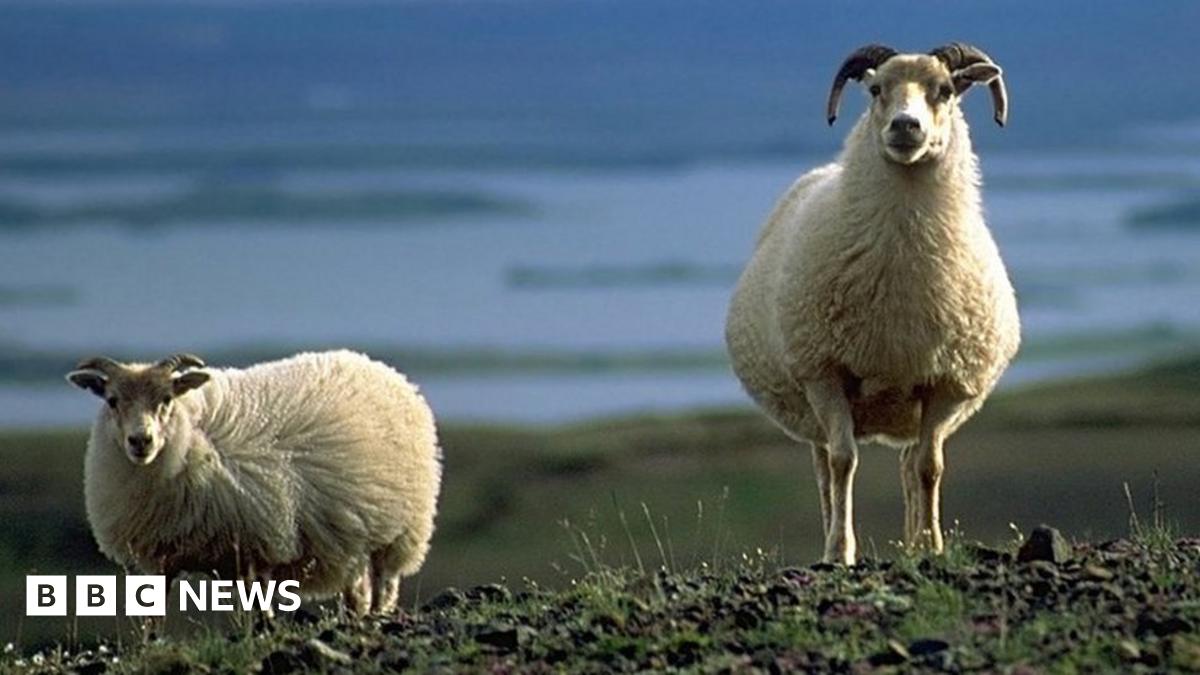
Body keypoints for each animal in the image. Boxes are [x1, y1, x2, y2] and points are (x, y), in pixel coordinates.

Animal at [66, 349, 442, 615]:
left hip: (399, 533)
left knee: (383, 586)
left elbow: (260, 614)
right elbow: (152, 621)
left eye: (167, 399)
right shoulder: (158, 560)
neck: (193, 438)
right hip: (352, 539)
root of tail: (384, 370)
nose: (140, 441)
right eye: (112, 400)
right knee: (356, 593)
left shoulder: (258, 545)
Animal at [725, 43, 1020, 565]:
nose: (906, 126)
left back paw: (912, 537)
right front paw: (839, 551)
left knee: (908, 463)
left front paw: (929, 546)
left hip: (917, 407)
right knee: (825, 468)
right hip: (810, 403)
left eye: (946, 90)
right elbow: (844, 462)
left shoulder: (945, 383)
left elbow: (929, 466)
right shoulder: (824, 373)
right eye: (876, 89)